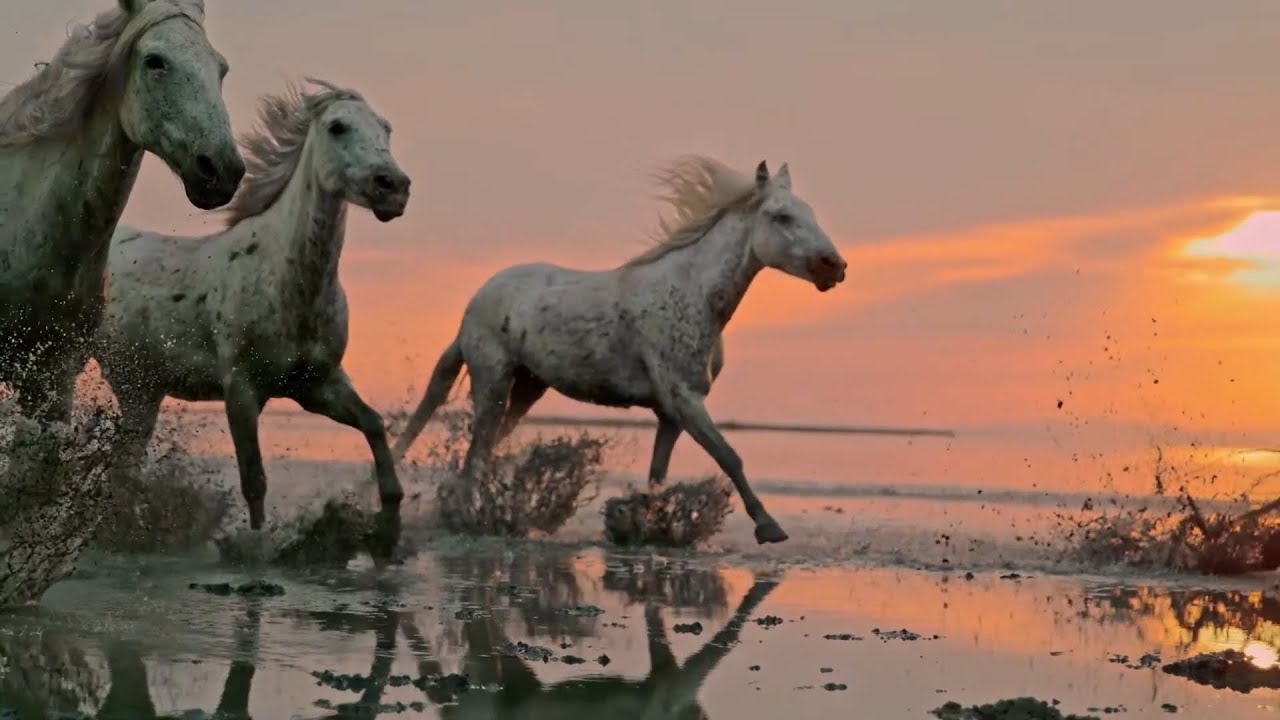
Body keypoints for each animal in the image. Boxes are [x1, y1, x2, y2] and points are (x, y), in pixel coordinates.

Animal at [93, 79, 411, 558]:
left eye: (386, 128)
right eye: (338, 126)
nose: (393, 187)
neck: (284, 279)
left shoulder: (317, 386)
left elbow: (374, 423)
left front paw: (387, 534)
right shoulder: (241, 389)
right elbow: (254, 480)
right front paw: (258, 547)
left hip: (141, 390)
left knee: (123, 470)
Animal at [391, 156, 847, 545]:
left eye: (811, 213)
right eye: (782, 216)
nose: (835, 266)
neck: (693, 296)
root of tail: (477, 299)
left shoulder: (670, 413)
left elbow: (657, 476)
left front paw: (636, 522)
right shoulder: (685, 399)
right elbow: (729, 456)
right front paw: (769, 527)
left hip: (527, 387)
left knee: (487, 450)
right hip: (492, 382)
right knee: (477, 455)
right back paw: (473, 517)